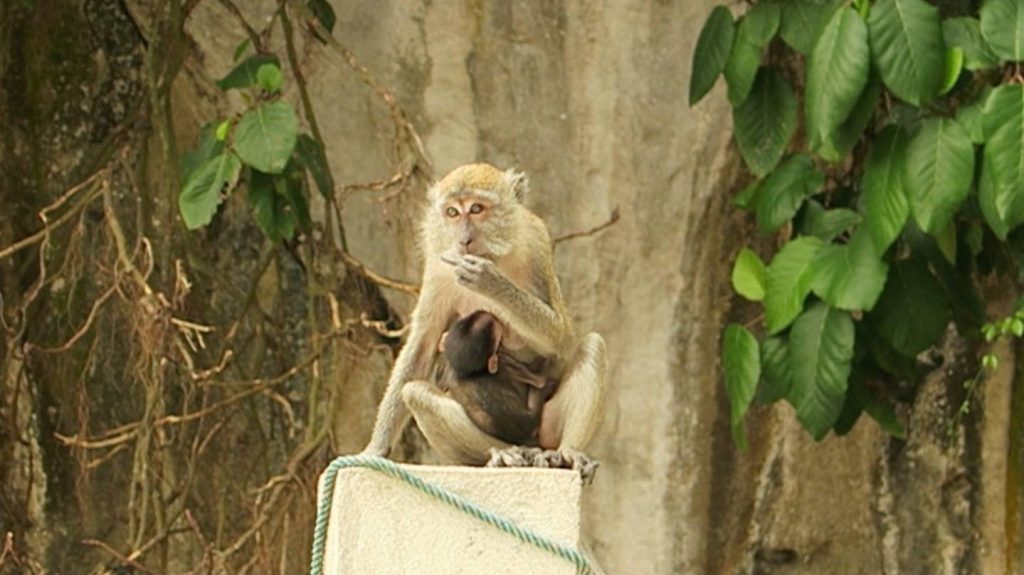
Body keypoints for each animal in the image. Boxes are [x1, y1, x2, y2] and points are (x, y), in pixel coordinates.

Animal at [437, 310, 558, 447]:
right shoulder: (503, 361)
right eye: (498, 336)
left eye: (469, 317)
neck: (464, 373)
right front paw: (542, 366)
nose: (491, 316)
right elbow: (539, 381)